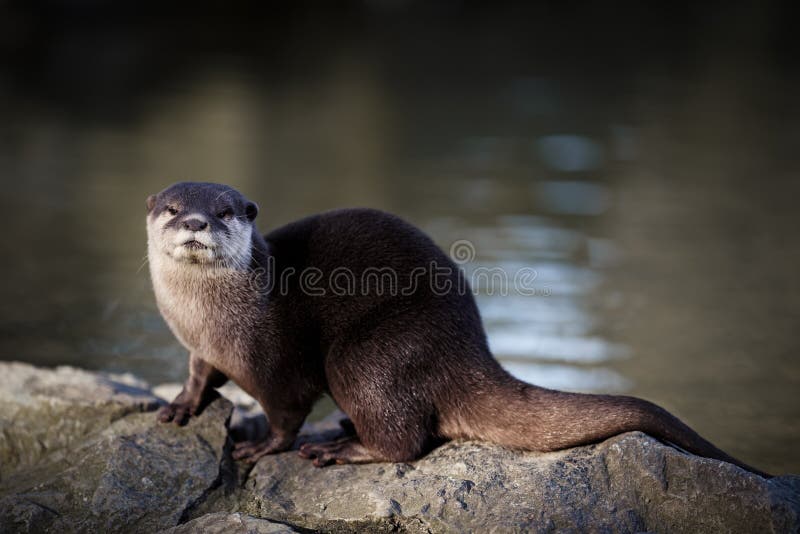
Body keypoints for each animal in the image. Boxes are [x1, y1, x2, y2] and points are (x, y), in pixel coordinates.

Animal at [146, 181, 768, 477]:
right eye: (172, 208)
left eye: (226, 212)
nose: (196, 222)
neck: (211, 321)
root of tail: (470, 351)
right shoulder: (200, 349)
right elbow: (200, 377)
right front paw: (181, 406)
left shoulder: (281, 361)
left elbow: (286, 413)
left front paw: (260, 448)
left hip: (367, 357)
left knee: (404, 442)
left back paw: (340, 449)